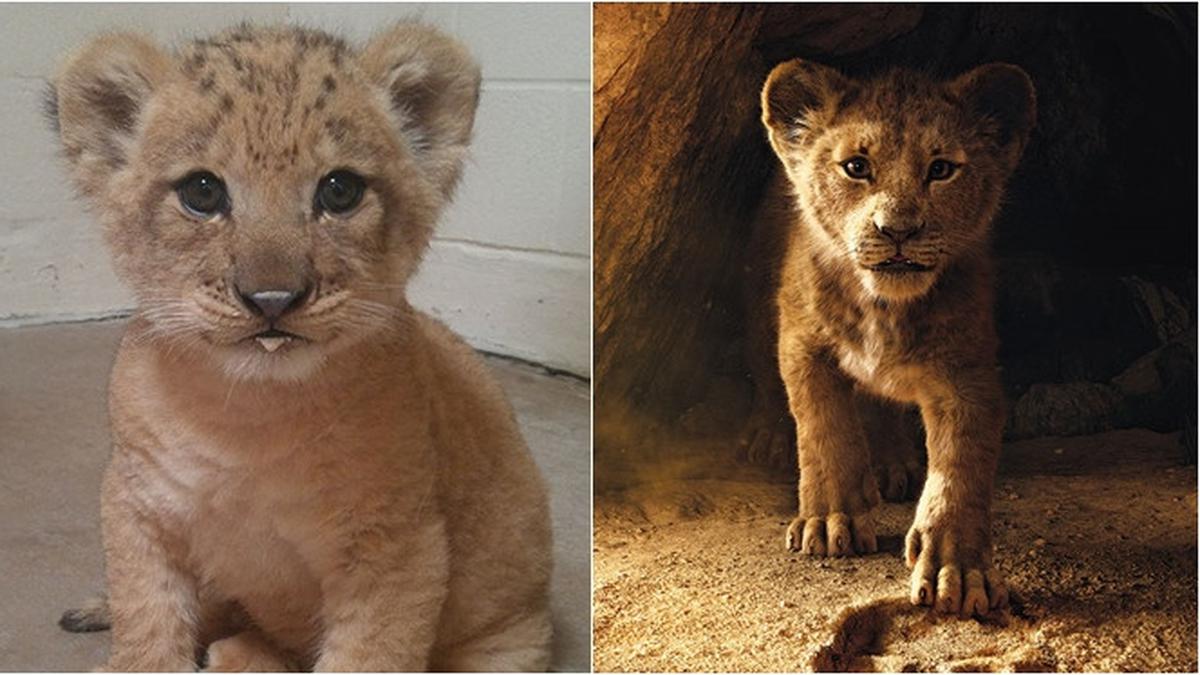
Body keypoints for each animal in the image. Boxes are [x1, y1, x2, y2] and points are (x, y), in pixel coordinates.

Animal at [48, 23, 552, 670]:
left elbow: (369, 655)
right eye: (201, 191)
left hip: (507, 640)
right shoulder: (136, 505)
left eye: (340, 191)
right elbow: (147, 625)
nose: (271, 298)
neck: (249, 417)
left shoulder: (399, 548)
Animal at [754, 59, 1036, 616]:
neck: (883, 307)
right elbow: (825, 429)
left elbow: (960, 466)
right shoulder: (802, 344)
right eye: (856, 167)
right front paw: (831, 520)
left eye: (942, 169)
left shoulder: (967, 372)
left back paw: (891, 465)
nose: (898, 230)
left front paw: (958, 569)